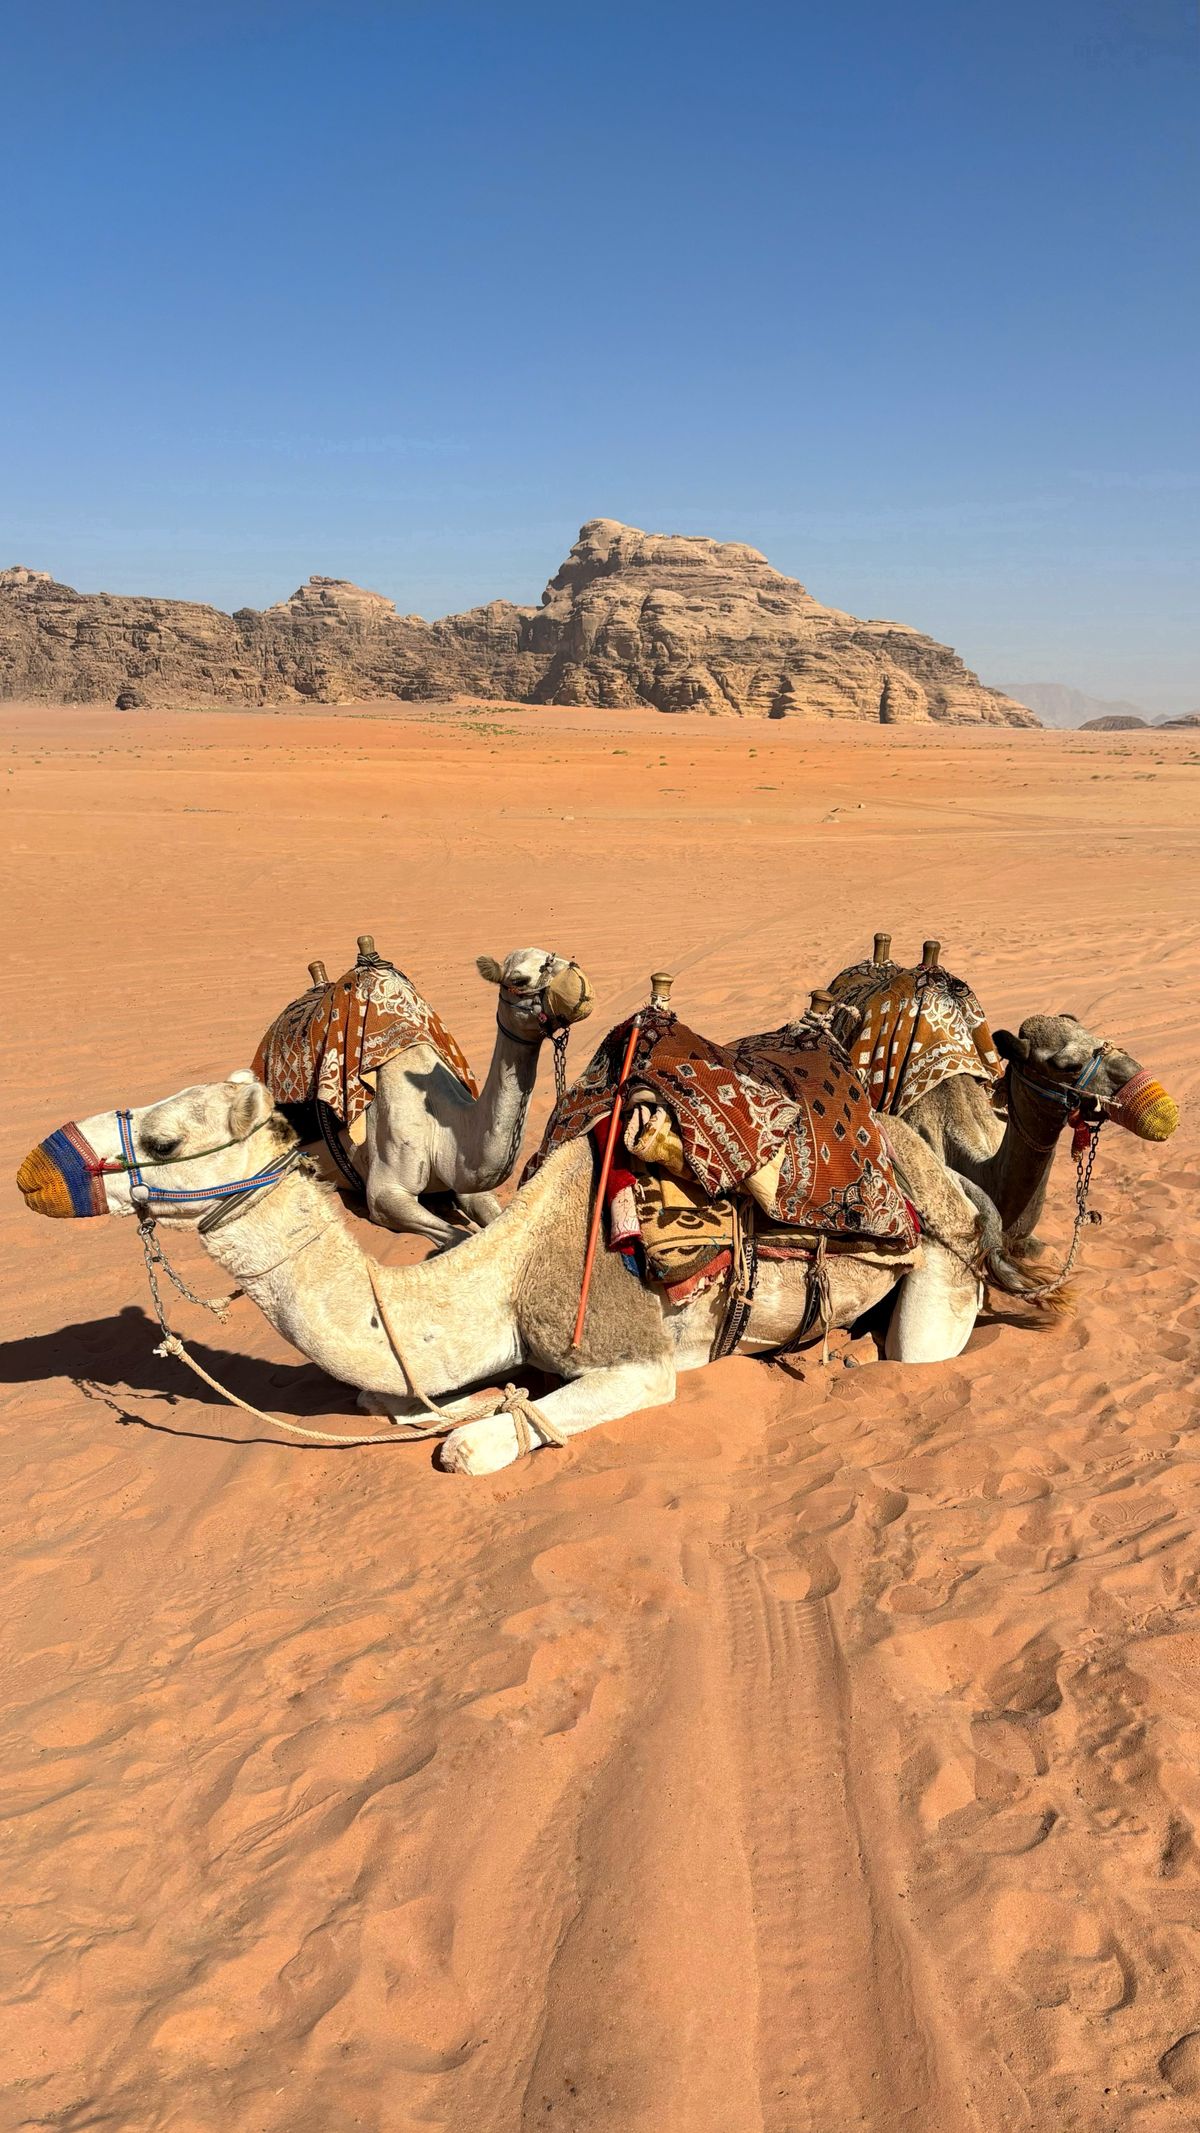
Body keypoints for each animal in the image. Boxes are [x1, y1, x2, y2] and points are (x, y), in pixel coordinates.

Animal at [18, 1072, 1020, 1476]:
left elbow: (466, 1448)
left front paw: (476, 1431)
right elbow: (397, 1399)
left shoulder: (635, 1355)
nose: (33, 1167)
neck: (502, 1277)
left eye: (162, 1139)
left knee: (918, 1349)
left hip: (941, 1266)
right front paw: (446, 1404)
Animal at [258, 944, 592, 1249]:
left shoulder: (466, 1183)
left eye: (558, 956)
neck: (440, 1125)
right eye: (520, 979)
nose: (580, 985)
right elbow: (459, 1237)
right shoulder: (383, 1195)